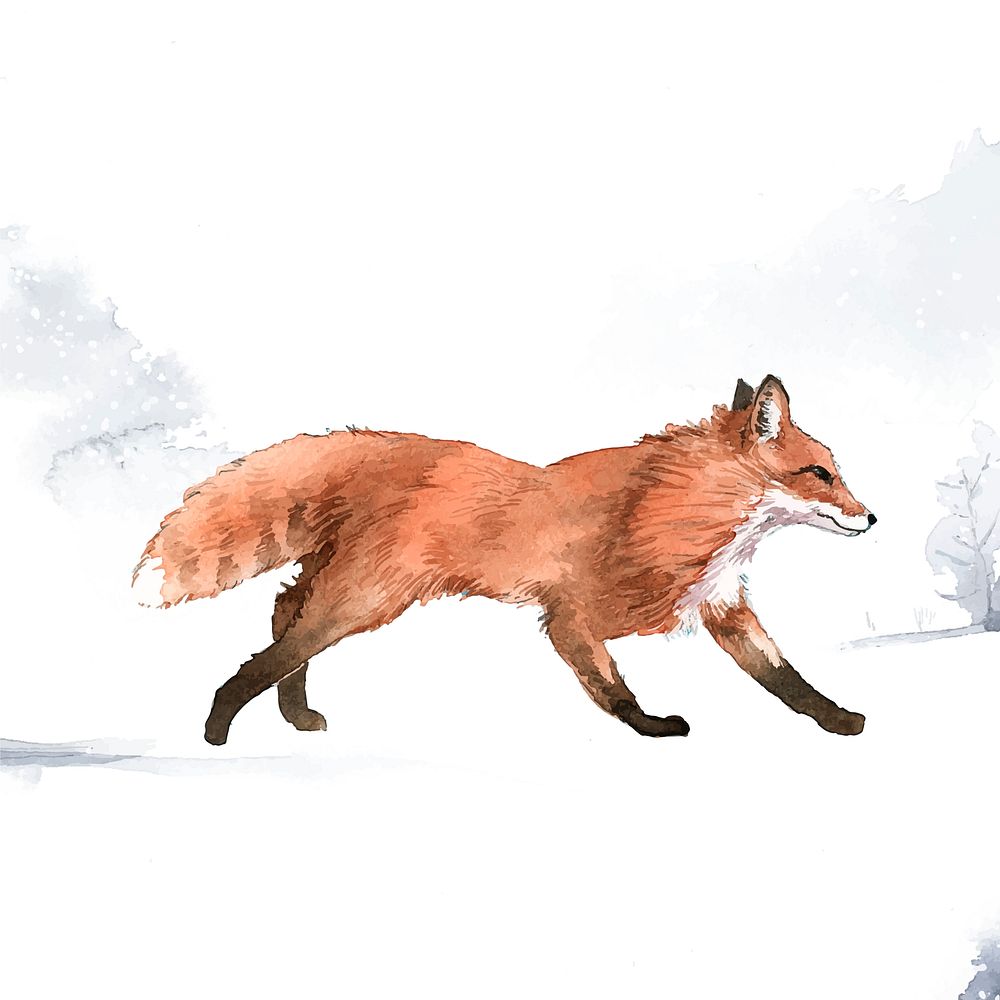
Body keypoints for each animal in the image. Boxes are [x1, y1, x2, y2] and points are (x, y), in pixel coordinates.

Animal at [134, 374, 876, 745]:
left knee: (283, 611)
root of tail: (398, 448)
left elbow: (787, 680)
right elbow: (614, 690)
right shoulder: (574, 614)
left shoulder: (723, 606)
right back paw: (219, 724)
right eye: (820, 474)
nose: (871, 518)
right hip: (366, 598)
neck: (685, 503)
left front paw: (840, 720)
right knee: (279, 644)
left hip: (347, 588)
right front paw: (653, 729)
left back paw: (294, 715)